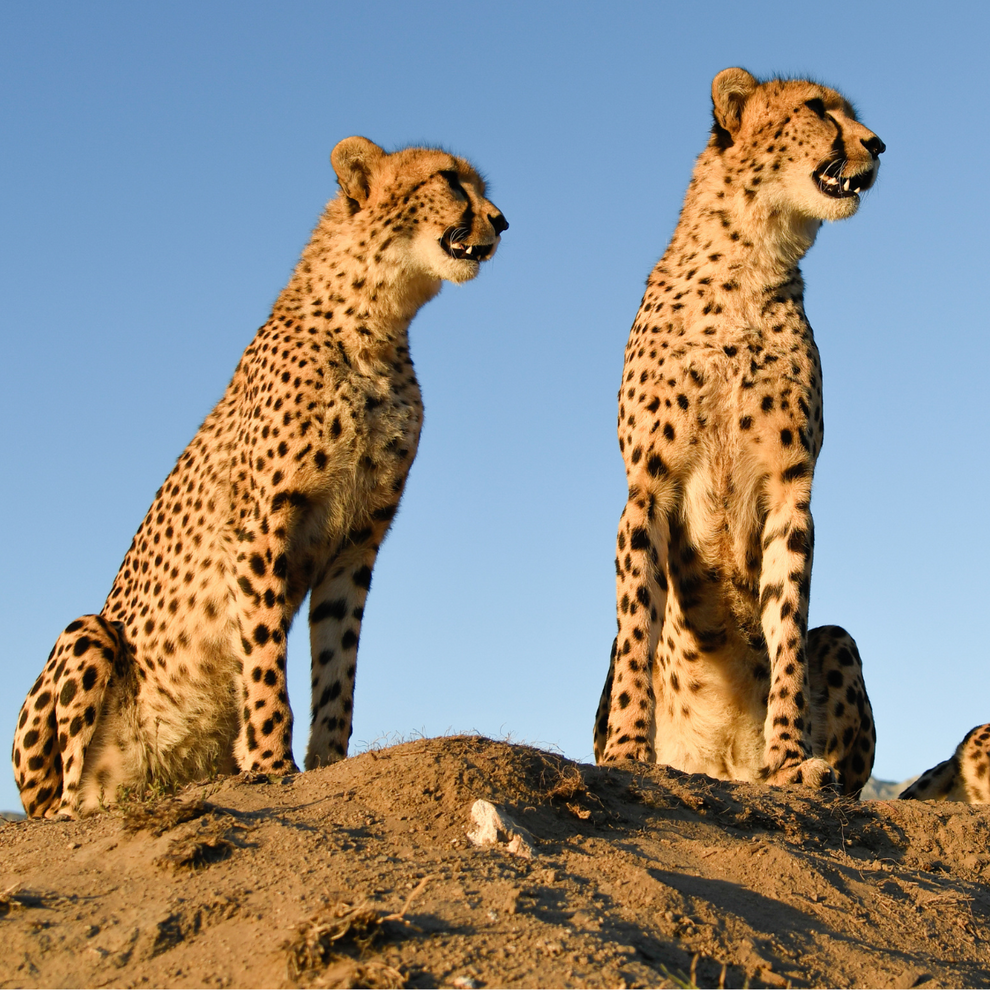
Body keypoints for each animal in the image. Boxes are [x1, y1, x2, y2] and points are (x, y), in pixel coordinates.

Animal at [12, 136, 508, 817]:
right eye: (450, 179)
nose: (502, 221)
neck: (374, 326)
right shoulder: (260, 525)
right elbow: (266, 655)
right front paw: (272, 762)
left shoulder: (357, 540)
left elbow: (338, 664)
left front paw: (327, 761)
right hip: (87, 634)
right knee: (60, 796)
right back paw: (77, 805)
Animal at [594, 68, 884, 796]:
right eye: (817, 109)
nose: (878, 144)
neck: (748, 263)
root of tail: (717, 765)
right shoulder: (648, 485)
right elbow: (637, 625)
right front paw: (629, 748)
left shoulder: (790, 489)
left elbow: (787, 627)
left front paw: (788, 756)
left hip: (841, 641)